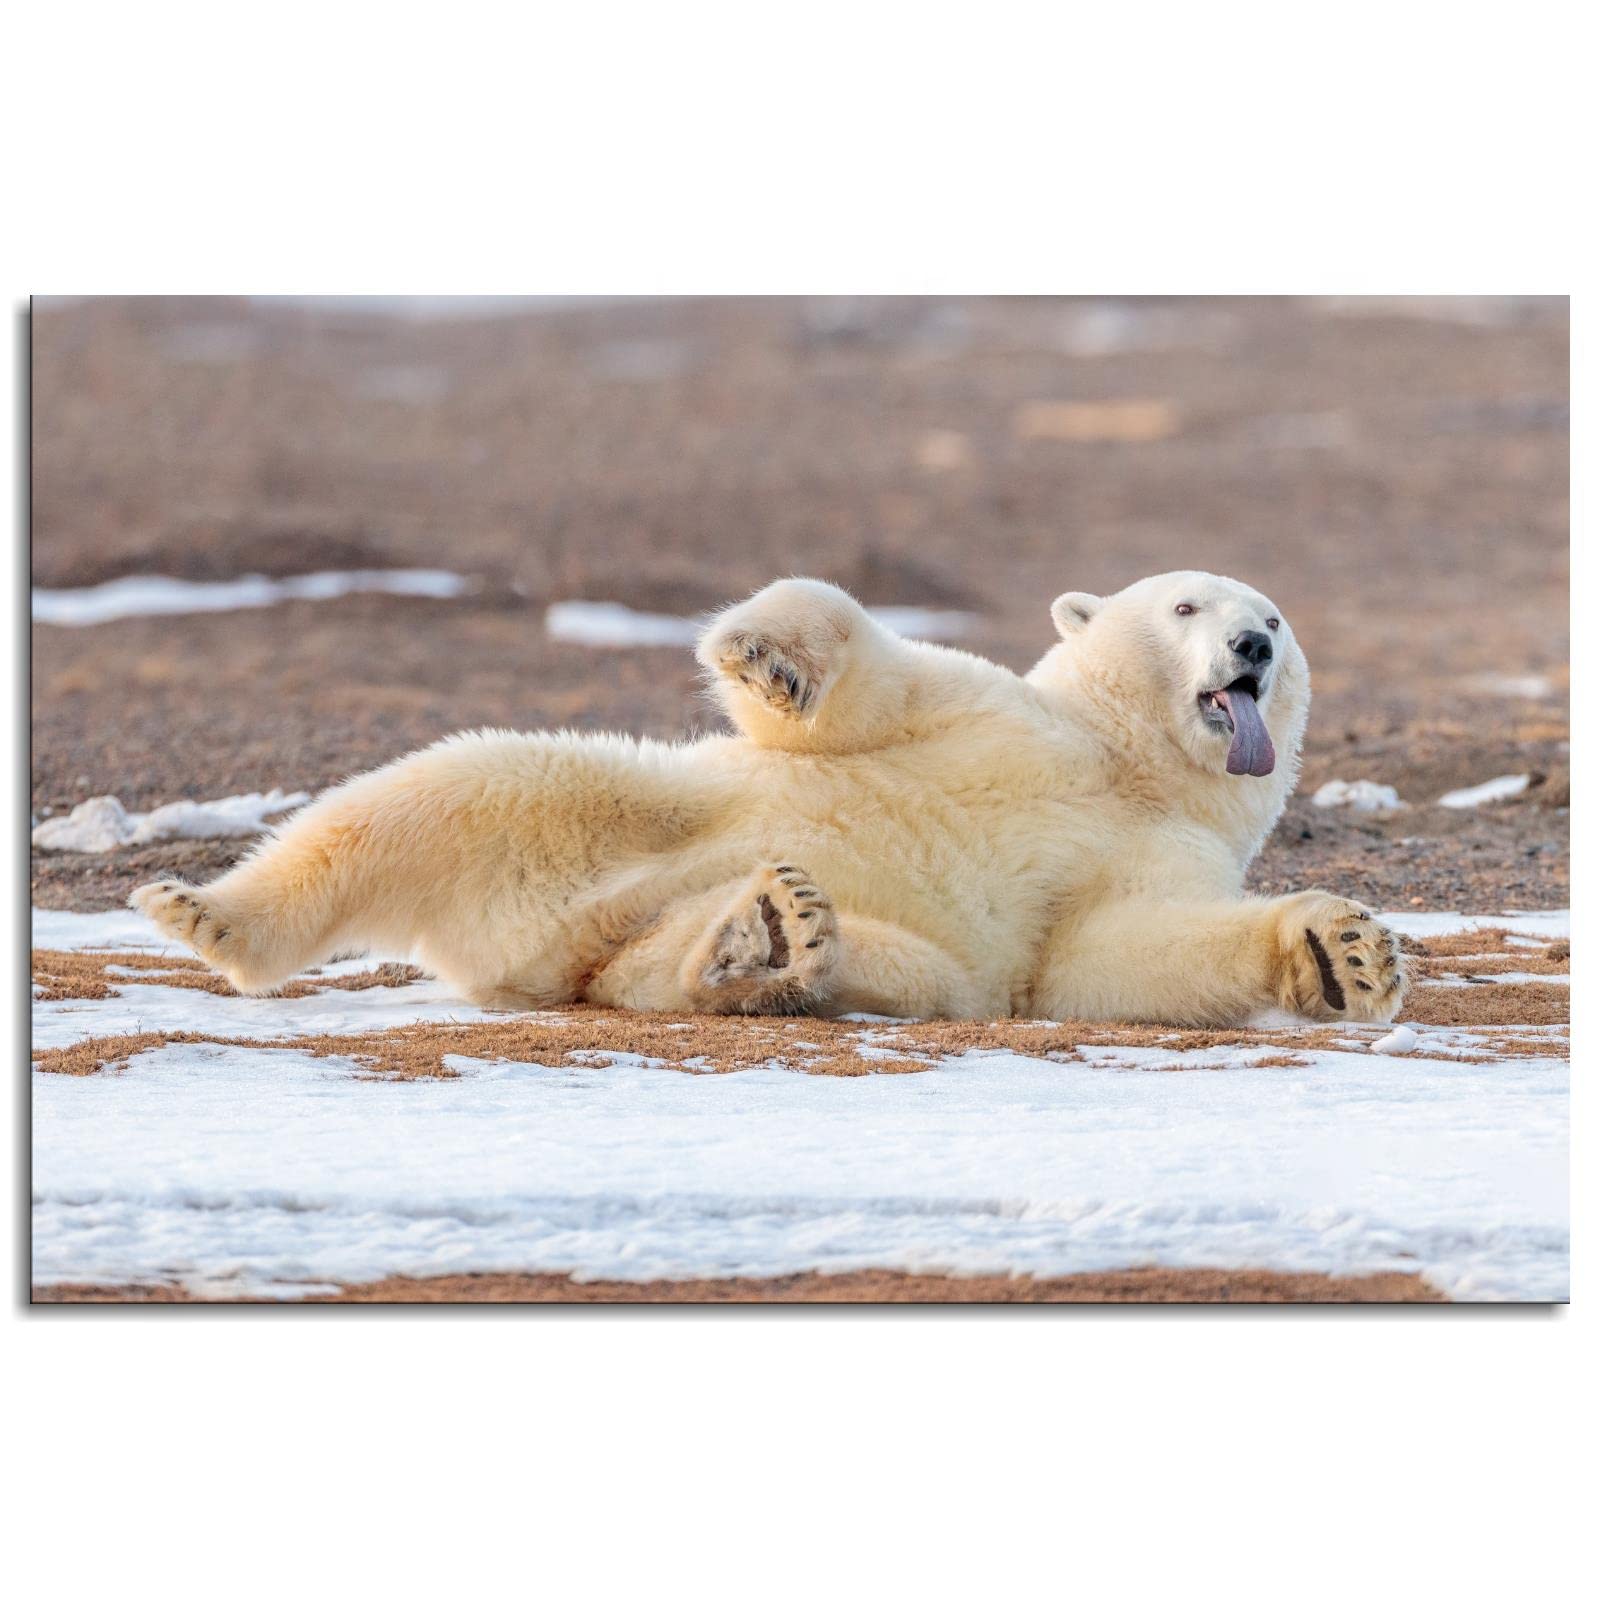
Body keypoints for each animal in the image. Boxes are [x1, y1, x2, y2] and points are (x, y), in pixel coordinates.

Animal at [130, 571, 1408, 1026]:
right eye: (1187, 605)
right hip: (602, 803)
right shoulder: (1003, 712)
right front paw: (766, 655)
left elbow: (1107, 957)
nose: (1251, 643)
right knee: (444, 789)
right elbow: (860, 691)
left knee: (874, 965)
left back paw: (765, 940)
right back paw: (211, 913)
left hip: (700, 932)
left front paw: (1344, 953)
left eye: (1275, 617)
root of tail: (537, 946)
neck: (1121, 761)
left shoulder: (1161, 848)